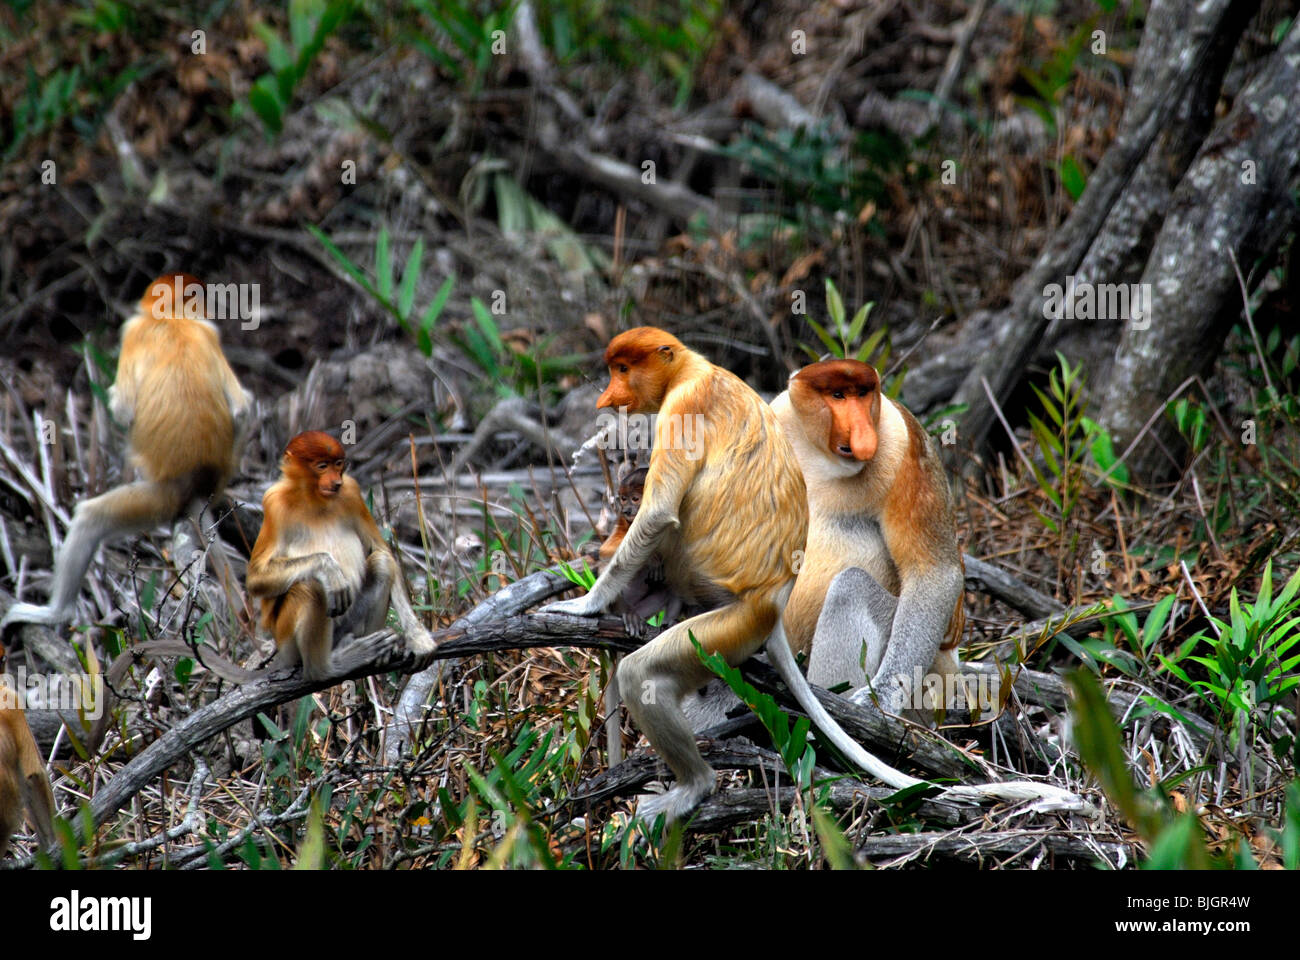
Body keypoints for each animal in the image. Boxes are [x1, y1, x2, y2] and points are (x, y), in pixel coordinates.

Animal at [2, 274, 253, 631]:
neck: (171, 318)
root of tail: (191, 484)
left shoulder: (133, 331)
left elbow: (122, 410)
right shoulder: (208, 331)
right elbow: (243, 409)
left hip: (157, 500)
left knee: (91, 519)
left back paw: (55, 614)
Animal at [245, 431, 436, 683]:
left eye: (338, 465)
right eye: (322, 466)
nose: (336, 482)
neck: (313, 497)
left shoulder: (351, 492)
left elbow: (381, 551)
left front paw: (419, 639)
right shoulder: (273, 504)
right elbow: (256, 580)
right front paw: (328, 569)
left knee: (382, 564)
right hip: (286, 640)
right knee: (312, 586)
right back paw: (325, 668)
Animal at [772, 359, 966, 717]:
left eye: (862, 394)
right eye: (837, 395)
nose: (863, 435)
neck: (820, 457)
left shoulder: (904, 445)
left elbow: (935, 572)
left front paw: (884, 694)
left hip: (935, 678)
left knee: (851, 588)